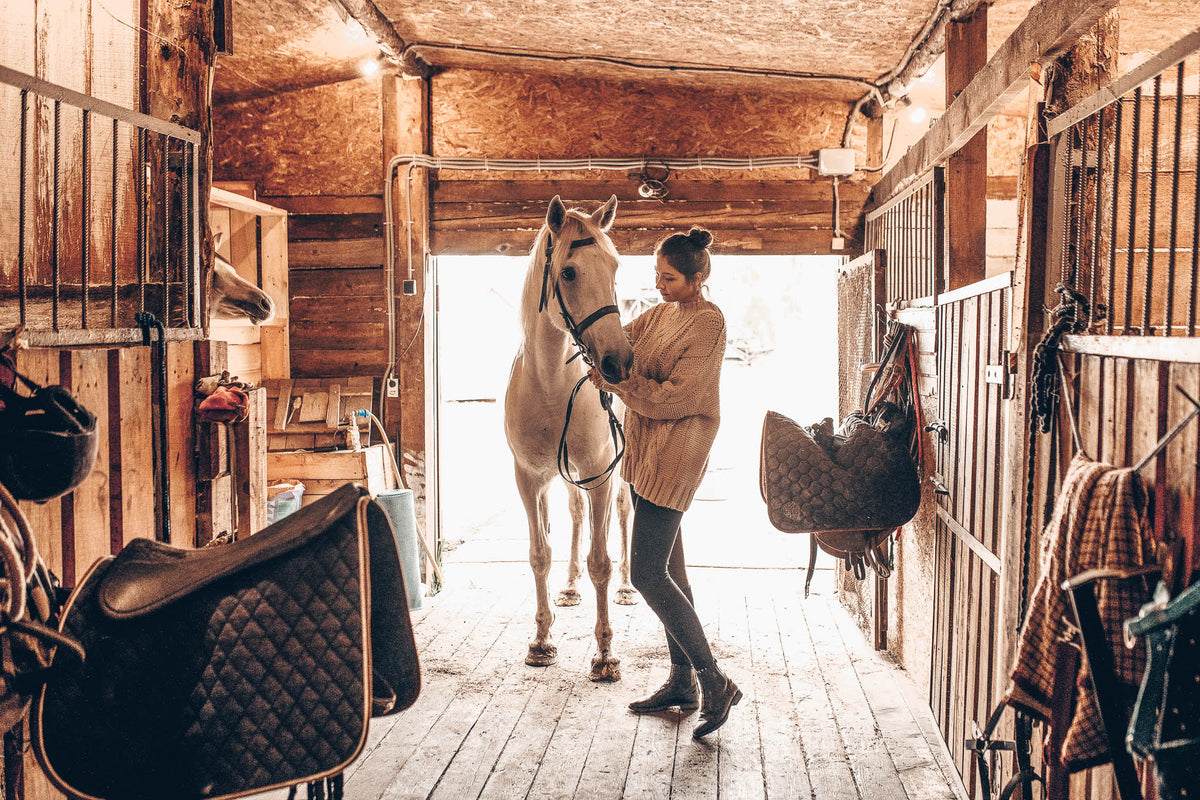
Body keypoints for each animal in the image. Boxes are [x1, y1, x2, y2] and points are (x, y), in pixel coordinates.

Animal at [504, 196, 634, 681]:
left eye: (614, 268)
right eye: (569, 272)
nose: (619, 362)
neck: (550, 386)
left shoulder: (600, 474)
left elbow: (601, 560)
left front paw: (605, 654)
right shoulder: (530, 478)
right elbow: (540, 553)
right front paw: (541, 641)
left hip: (617, 472)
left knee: (622, 513)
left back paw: (628, 587)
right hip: (567, 475)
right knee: (577, 515)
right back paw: (571, 585)